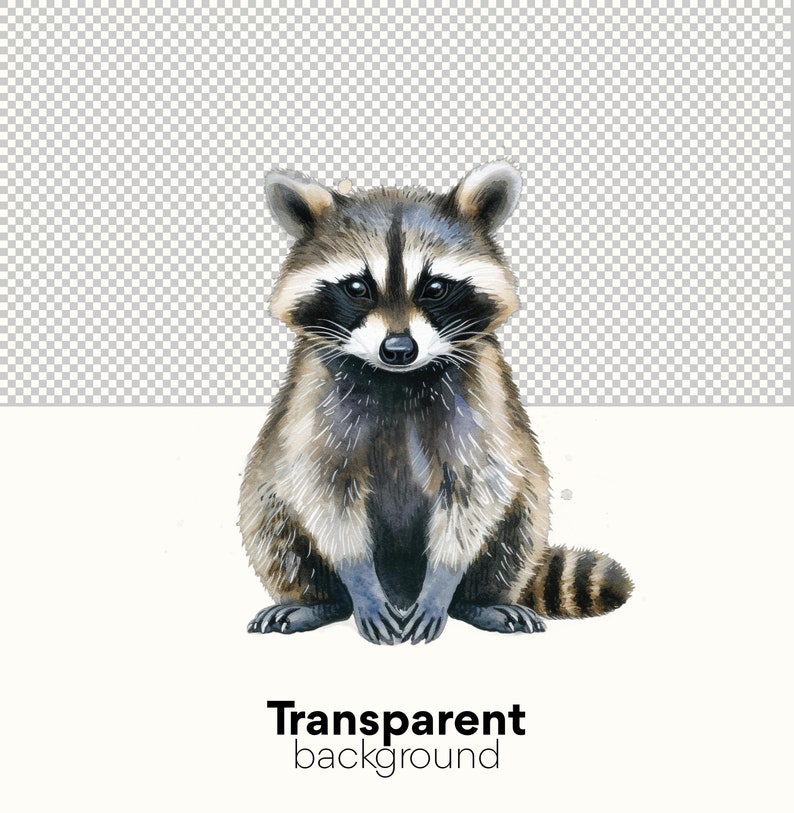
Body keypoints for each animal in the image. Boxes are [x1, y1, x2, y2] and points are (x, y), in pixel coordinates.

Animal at [239, 162, 633, 644]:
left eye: (435, 288)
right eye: (357, 287)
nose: (398, 349)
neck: (397, 380)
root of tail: (401, 590)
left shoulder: (478, 392)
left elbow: (475, 486)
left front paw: (442, 584)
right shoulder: (317, 395)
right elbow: (323, 486)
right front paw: (359, 580)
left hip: (526, 505)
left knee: (520, 514)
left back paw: (478, 600)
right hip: (267, 497)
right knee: (271, 514)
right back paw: (318, 601)